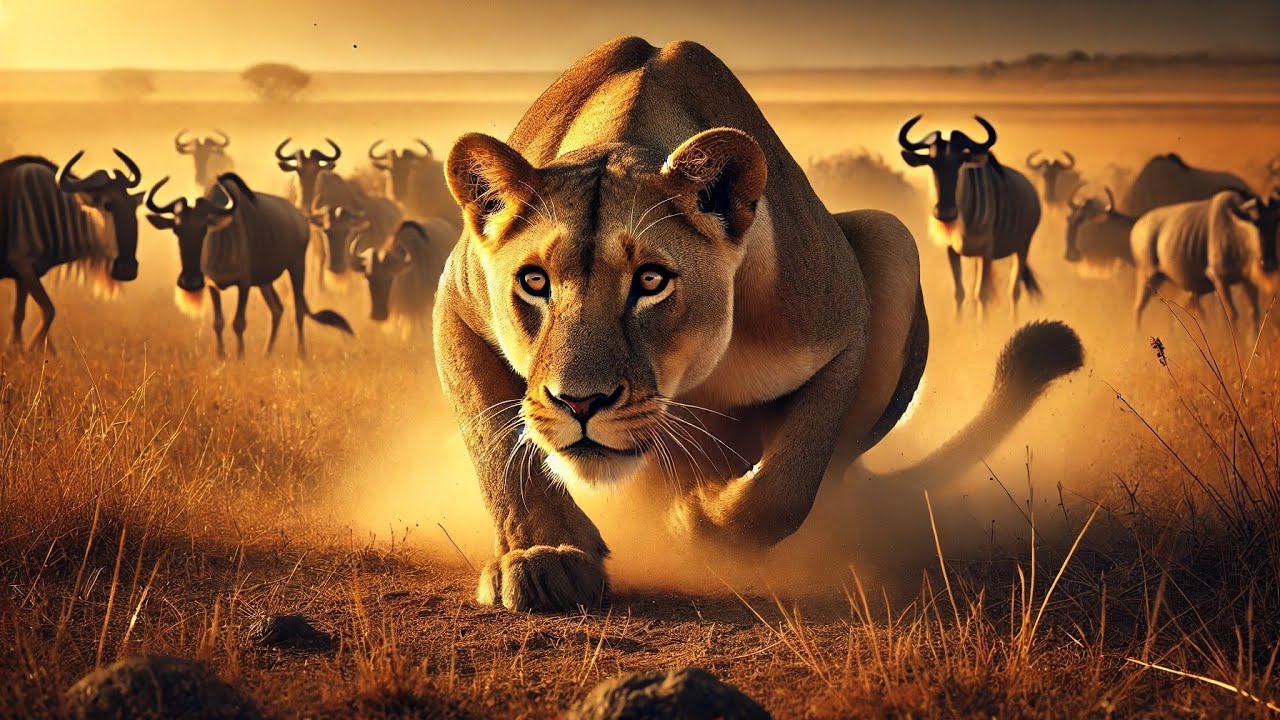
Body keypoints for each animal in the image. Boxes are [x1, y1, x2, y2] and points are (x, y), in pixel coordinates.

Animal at [433, 37, 1084, 613]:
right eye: (533, 282)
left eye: (651, 281)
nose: (580, 402)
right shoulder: (454, 305)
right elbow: (498, 451)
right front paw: (545, 560)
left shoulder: (841, 327)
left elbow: (788, 483)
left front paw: (694, 520)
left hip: (890, 232)